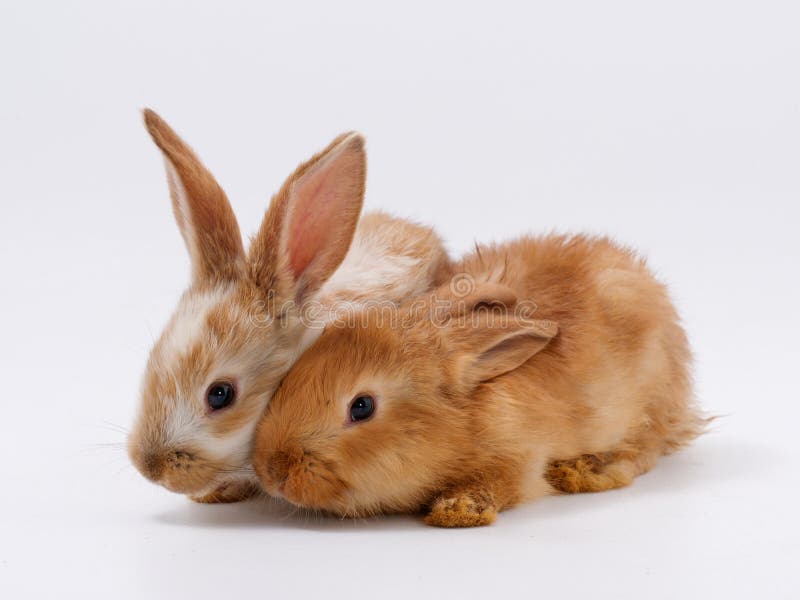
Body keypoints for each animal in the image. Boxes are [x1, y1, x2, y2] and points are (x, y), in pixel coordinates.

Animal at [252, 234, 706, 526]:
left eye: (361, 407)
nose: (270, 471)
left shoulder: (520, 453)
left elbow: (504, 483)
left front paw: (457, 511)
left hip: (648, 403)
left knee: (643, 449)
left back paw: (584, 472)